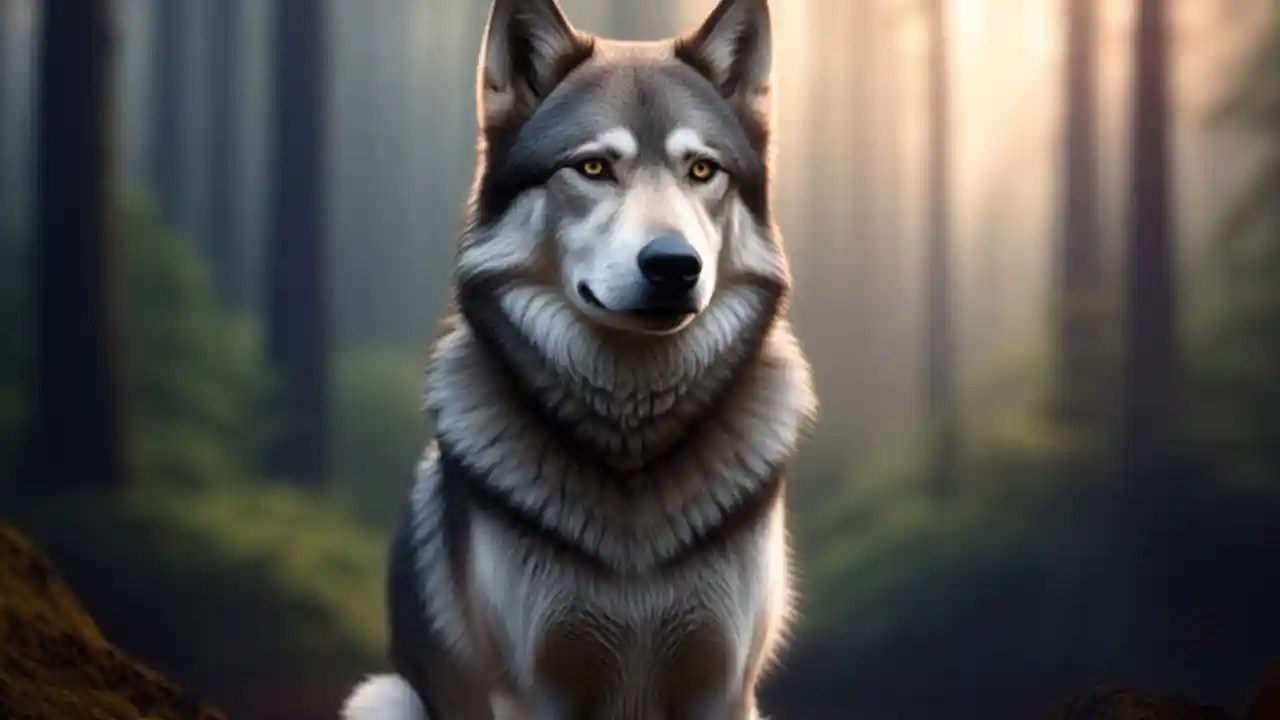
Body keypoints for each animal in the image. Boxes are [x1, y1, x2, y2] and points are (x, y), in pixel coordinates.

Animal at [341, 0, 816, 717]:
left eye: (702, 171)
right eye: (594, 168)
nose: (674, 265)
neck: (632, 451)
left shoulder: (724, 686)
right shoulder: (530, 689)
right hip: (382, 696)